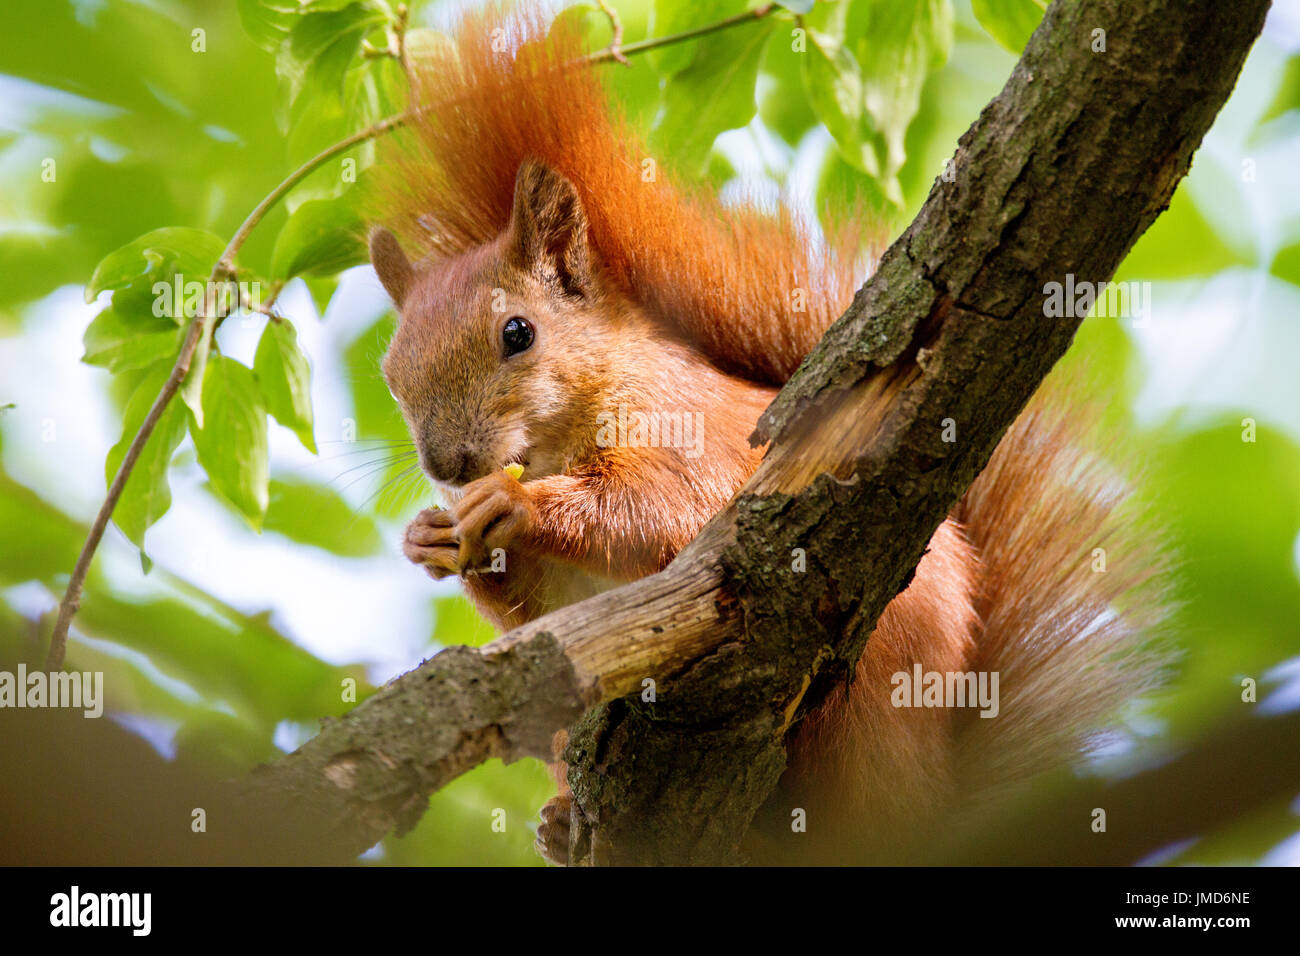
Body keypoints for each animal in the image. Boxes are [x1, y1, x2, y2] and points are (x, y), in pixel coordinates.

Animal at [365, 6, 1166, 864]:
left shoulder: (696, 445)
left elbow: (659, 515)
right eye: (391, 373)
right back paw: (559, 820)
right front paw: (432, 537)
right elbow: (530, 622)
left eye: (518, 333)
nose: (448, 463)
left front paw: (518, 509)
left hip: (872, 694)